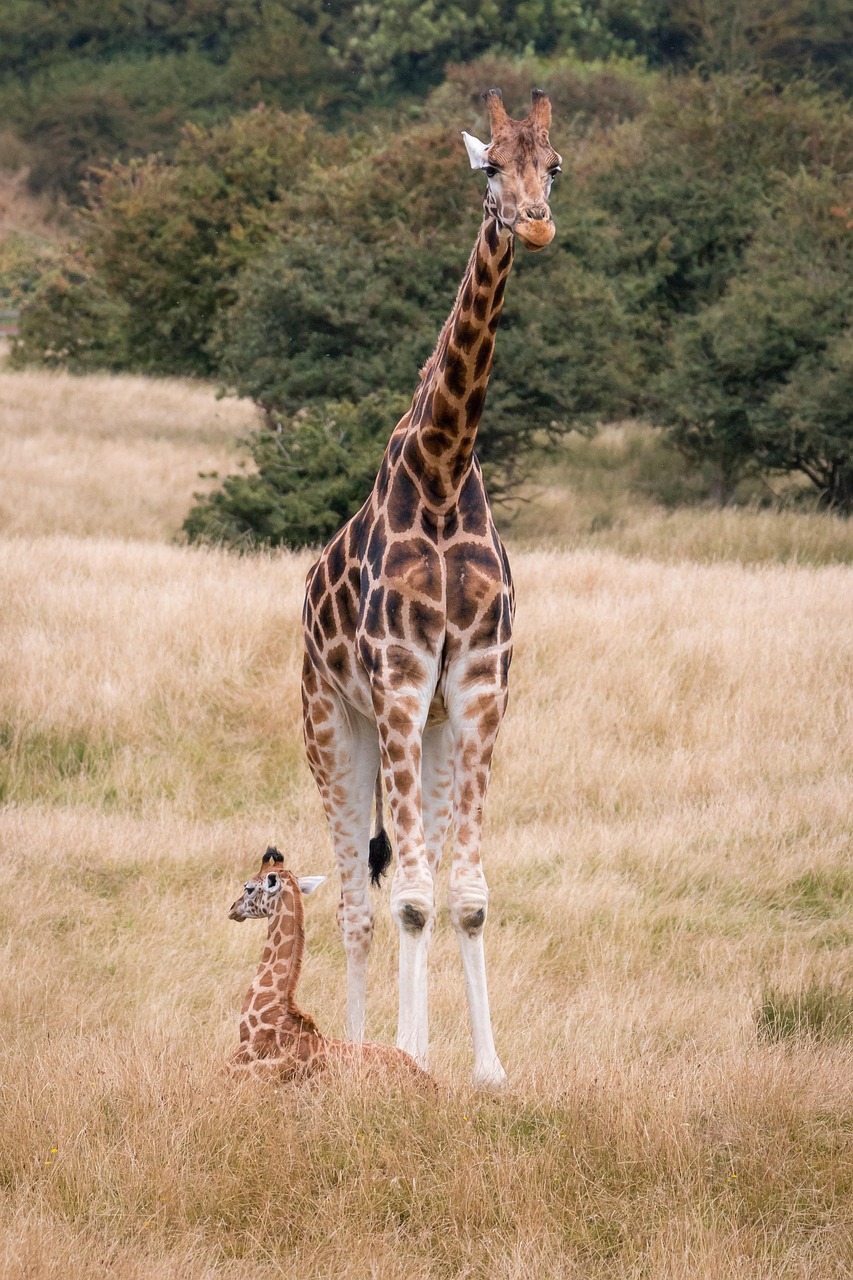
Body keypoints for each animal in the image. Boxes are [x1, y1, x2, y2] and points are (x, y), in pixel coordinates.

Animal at [300, 88, 561, 1088]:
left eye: (554, 164)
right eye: (490, 166)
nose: (534, 221)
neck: (445, 476)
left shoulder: (478, 688)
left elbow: (467, 892)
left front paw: (486, 1071)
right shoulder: (400, 683)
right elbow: (407, 893)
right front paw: (410, 1062)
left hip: (435, 728)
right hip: (333, 724)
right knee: (353, 903)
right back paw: (359, 1048)